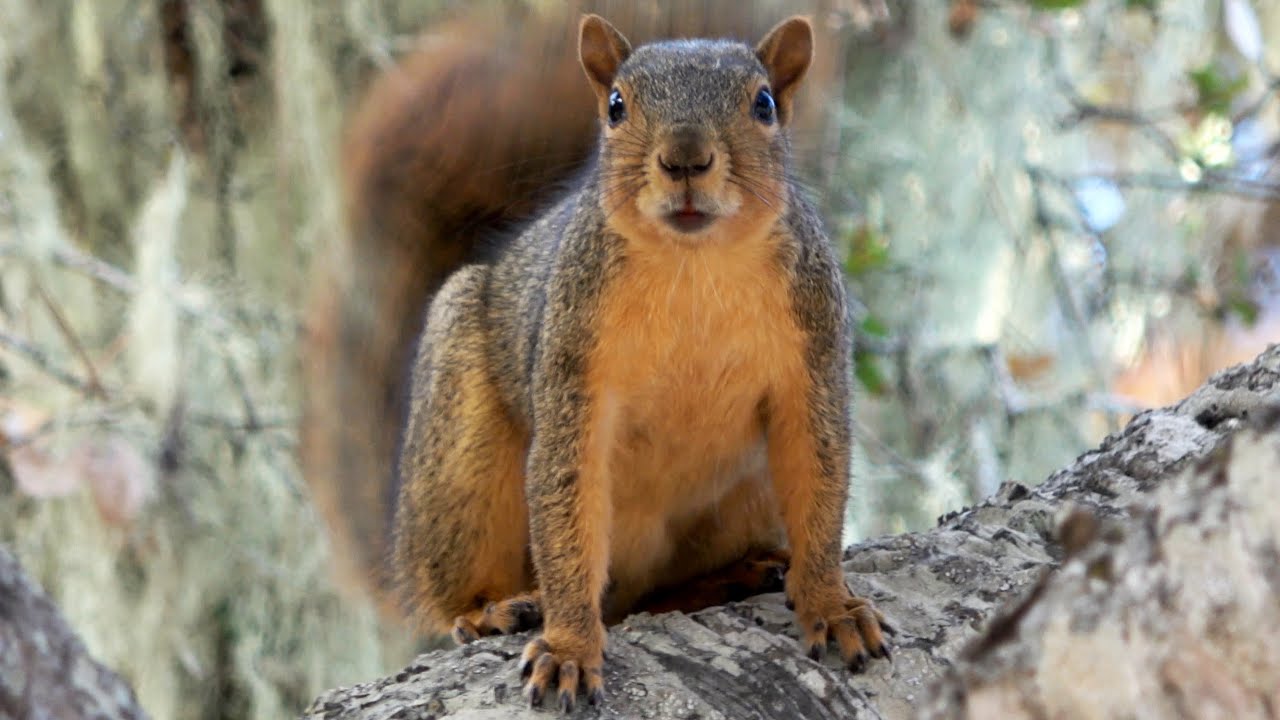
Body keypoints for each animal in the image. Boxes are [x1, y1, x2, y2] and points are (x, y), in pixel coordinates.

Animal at [391, 13, 890, 712]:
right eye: (616, 107)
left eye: (764, 104)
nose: (685, 158)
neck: (694, 262)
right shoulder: (574, 361)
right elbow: (566, 497)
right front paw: (570, 647)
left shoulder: (812, 352)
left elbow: (818, 478)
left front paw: (832, 604)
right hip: (459, 457)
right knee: (458, 582)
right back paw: (491, 609)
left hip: (744, 498)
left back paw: (732, 576)